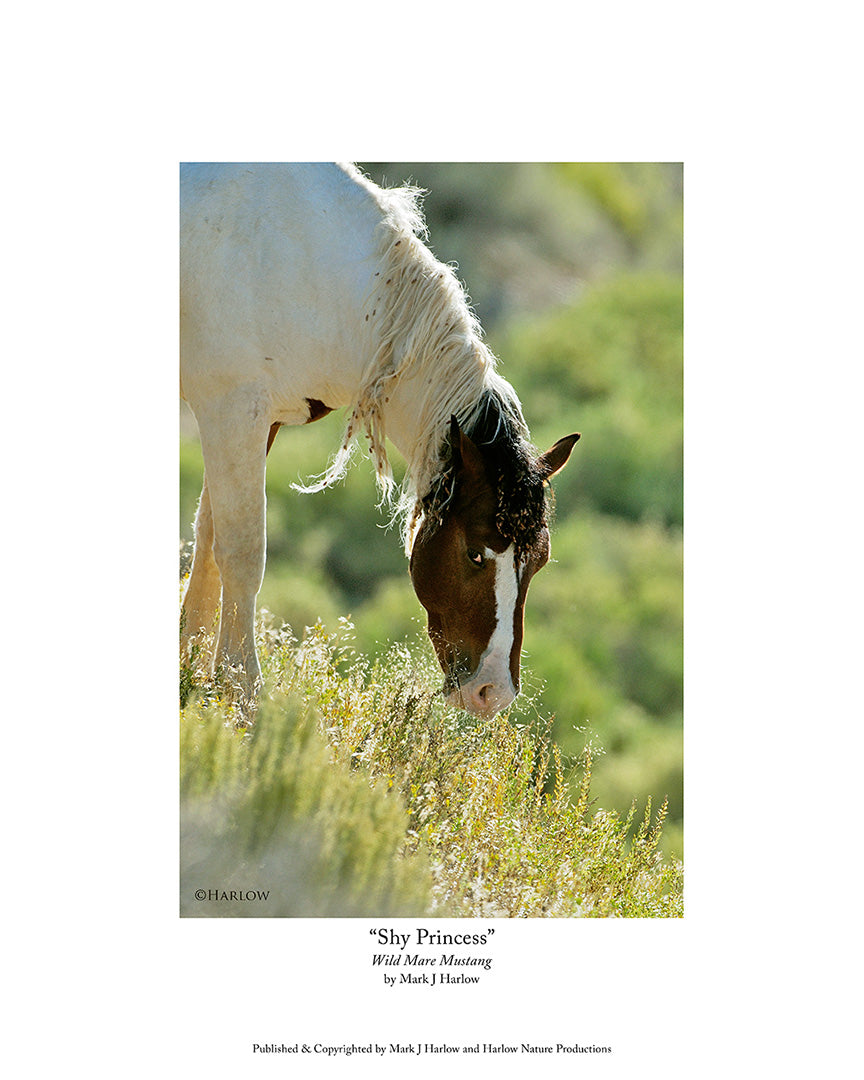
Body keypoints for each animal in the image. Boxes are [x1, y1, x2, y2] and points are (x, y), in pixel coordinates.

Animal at [180, 163, 579, 716]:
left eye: (537, 562)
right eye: (475, 554)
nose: (493, 692)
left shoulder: (259, 420)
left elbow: (209, 536)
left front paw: (192, 671)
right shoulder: (232, 409)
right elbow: (242, 551)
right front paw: (242, 694)